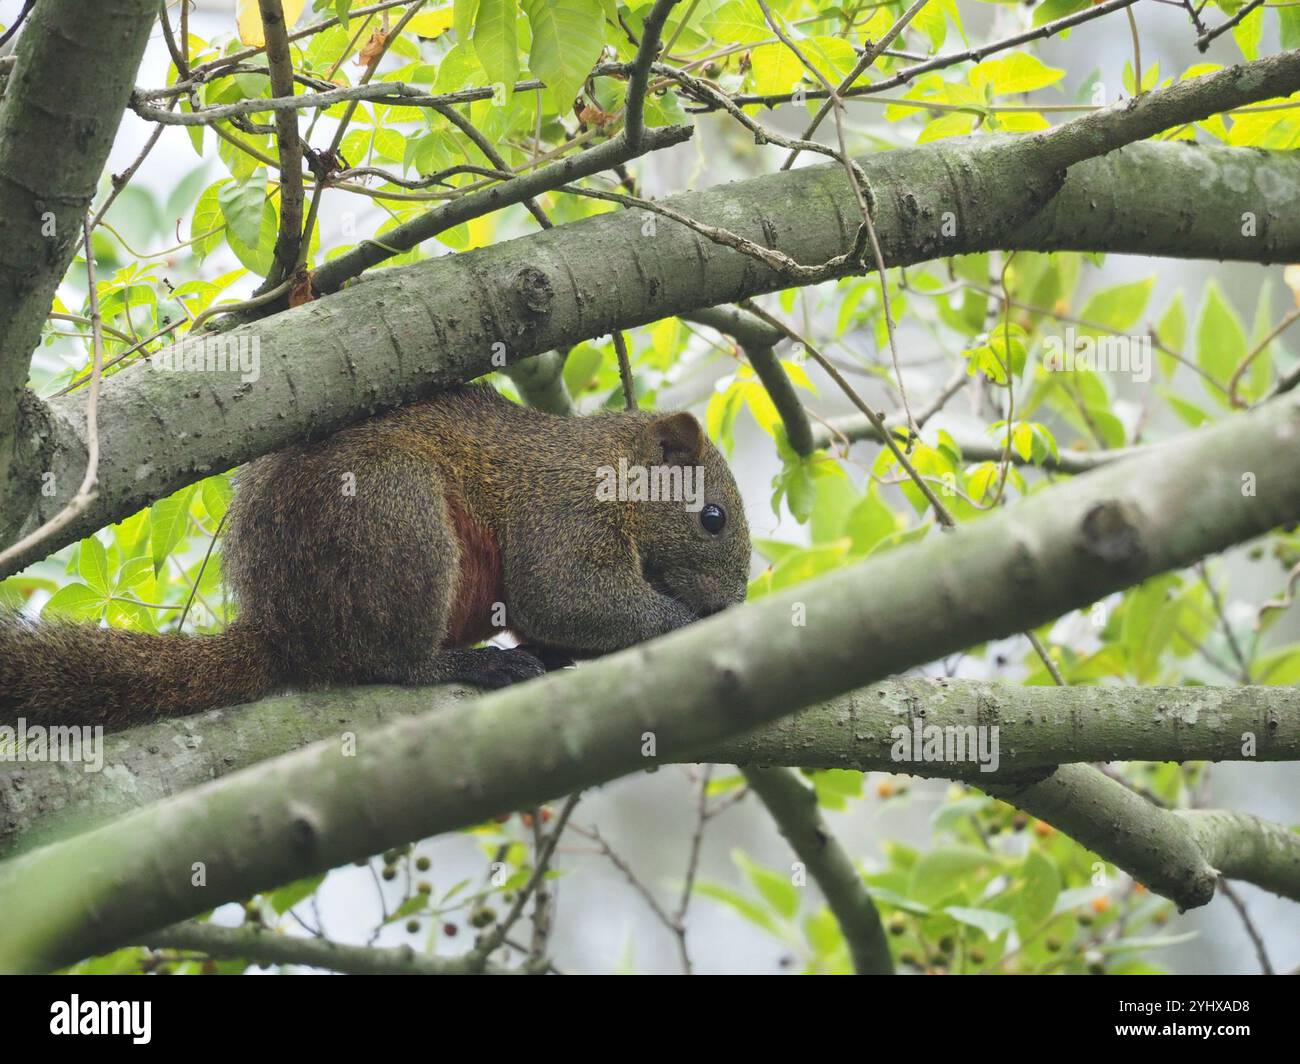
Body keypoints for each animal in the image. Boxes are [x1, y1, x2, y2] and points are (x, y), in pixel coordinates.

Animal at [0, 384, 751, 732]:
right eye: (712, 518)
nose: (733, 603)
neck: (610, 466)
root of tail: (279, 631)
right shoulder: (563, 512)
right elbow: (565, 597)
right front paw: (689, 622)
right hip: (396, 513)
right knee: (389, 661)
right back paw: (469, 666)